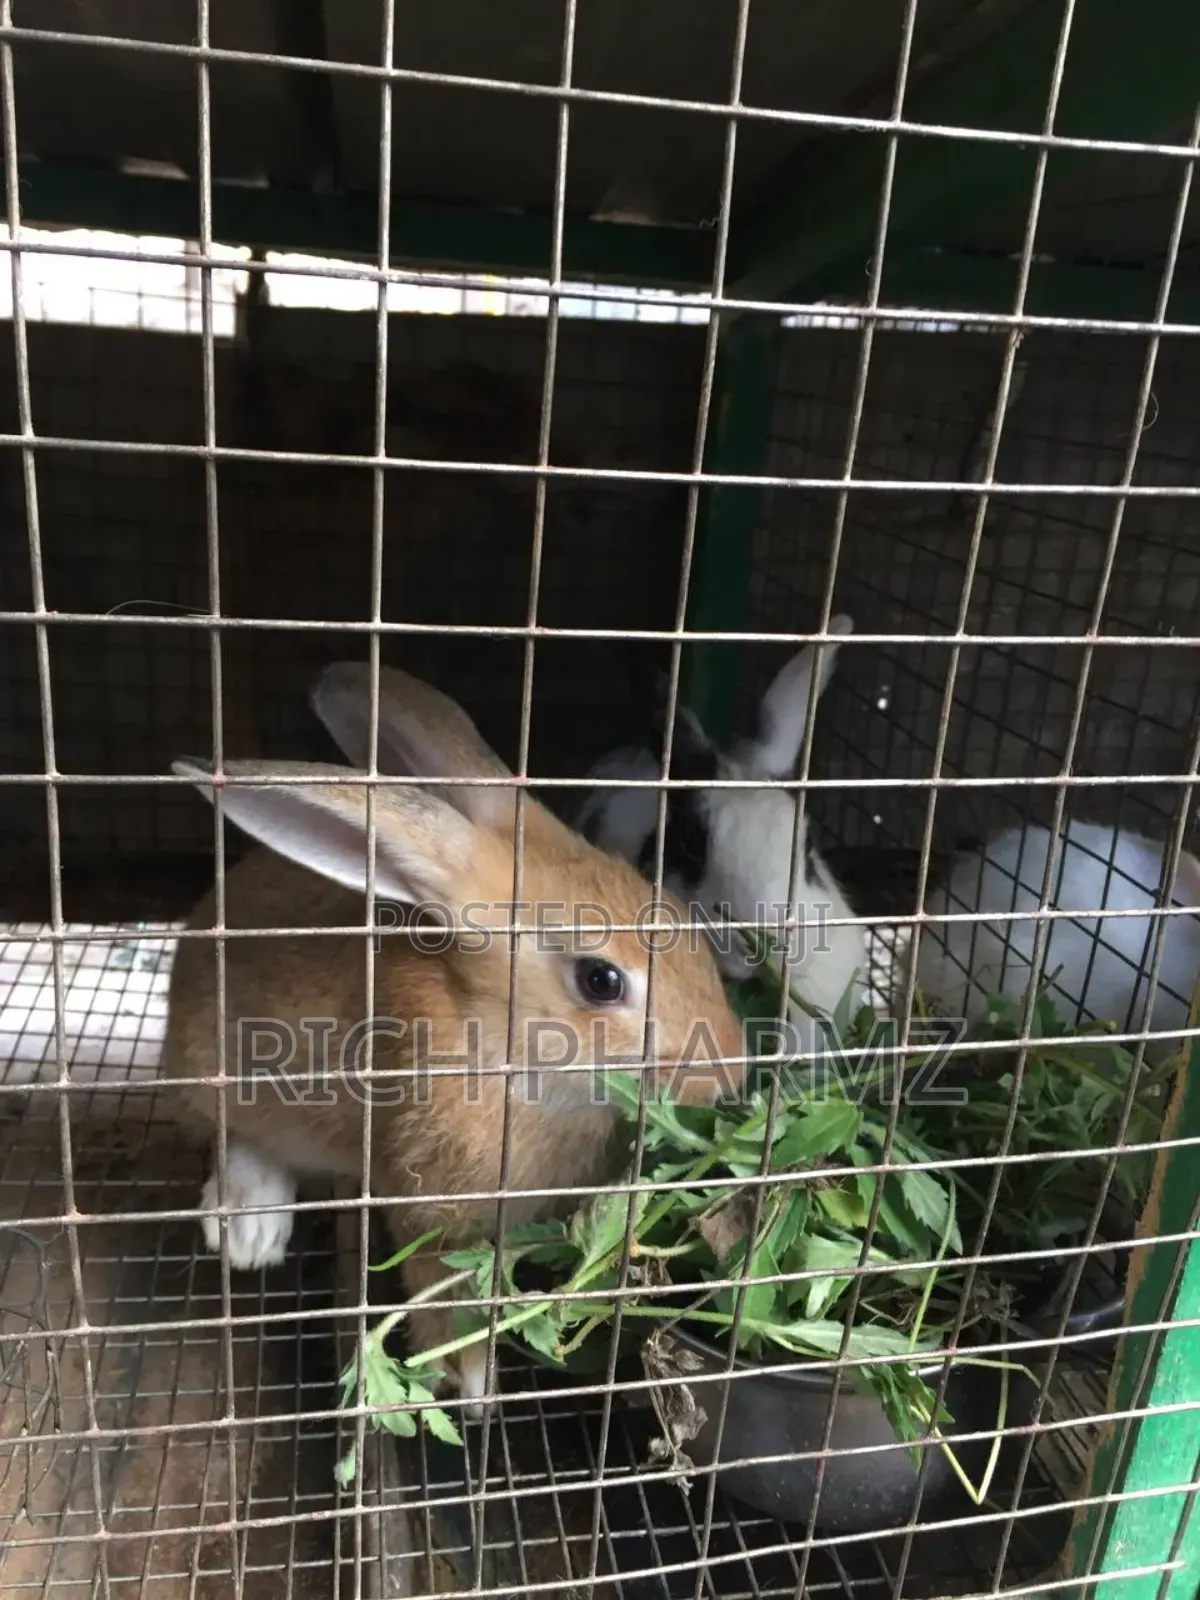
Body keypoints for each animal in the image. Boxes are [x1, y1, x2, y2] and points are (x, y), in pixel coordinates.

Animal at [161, 667, 746, 1409]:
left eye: (673, 913)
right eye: (601, 980)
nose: (731, 1073)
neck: (499, 1040)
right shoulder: (430, 1209)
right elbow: (443, 1293)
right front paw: (471, 1383)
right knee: (235, 1135)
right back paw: (249, 1229)